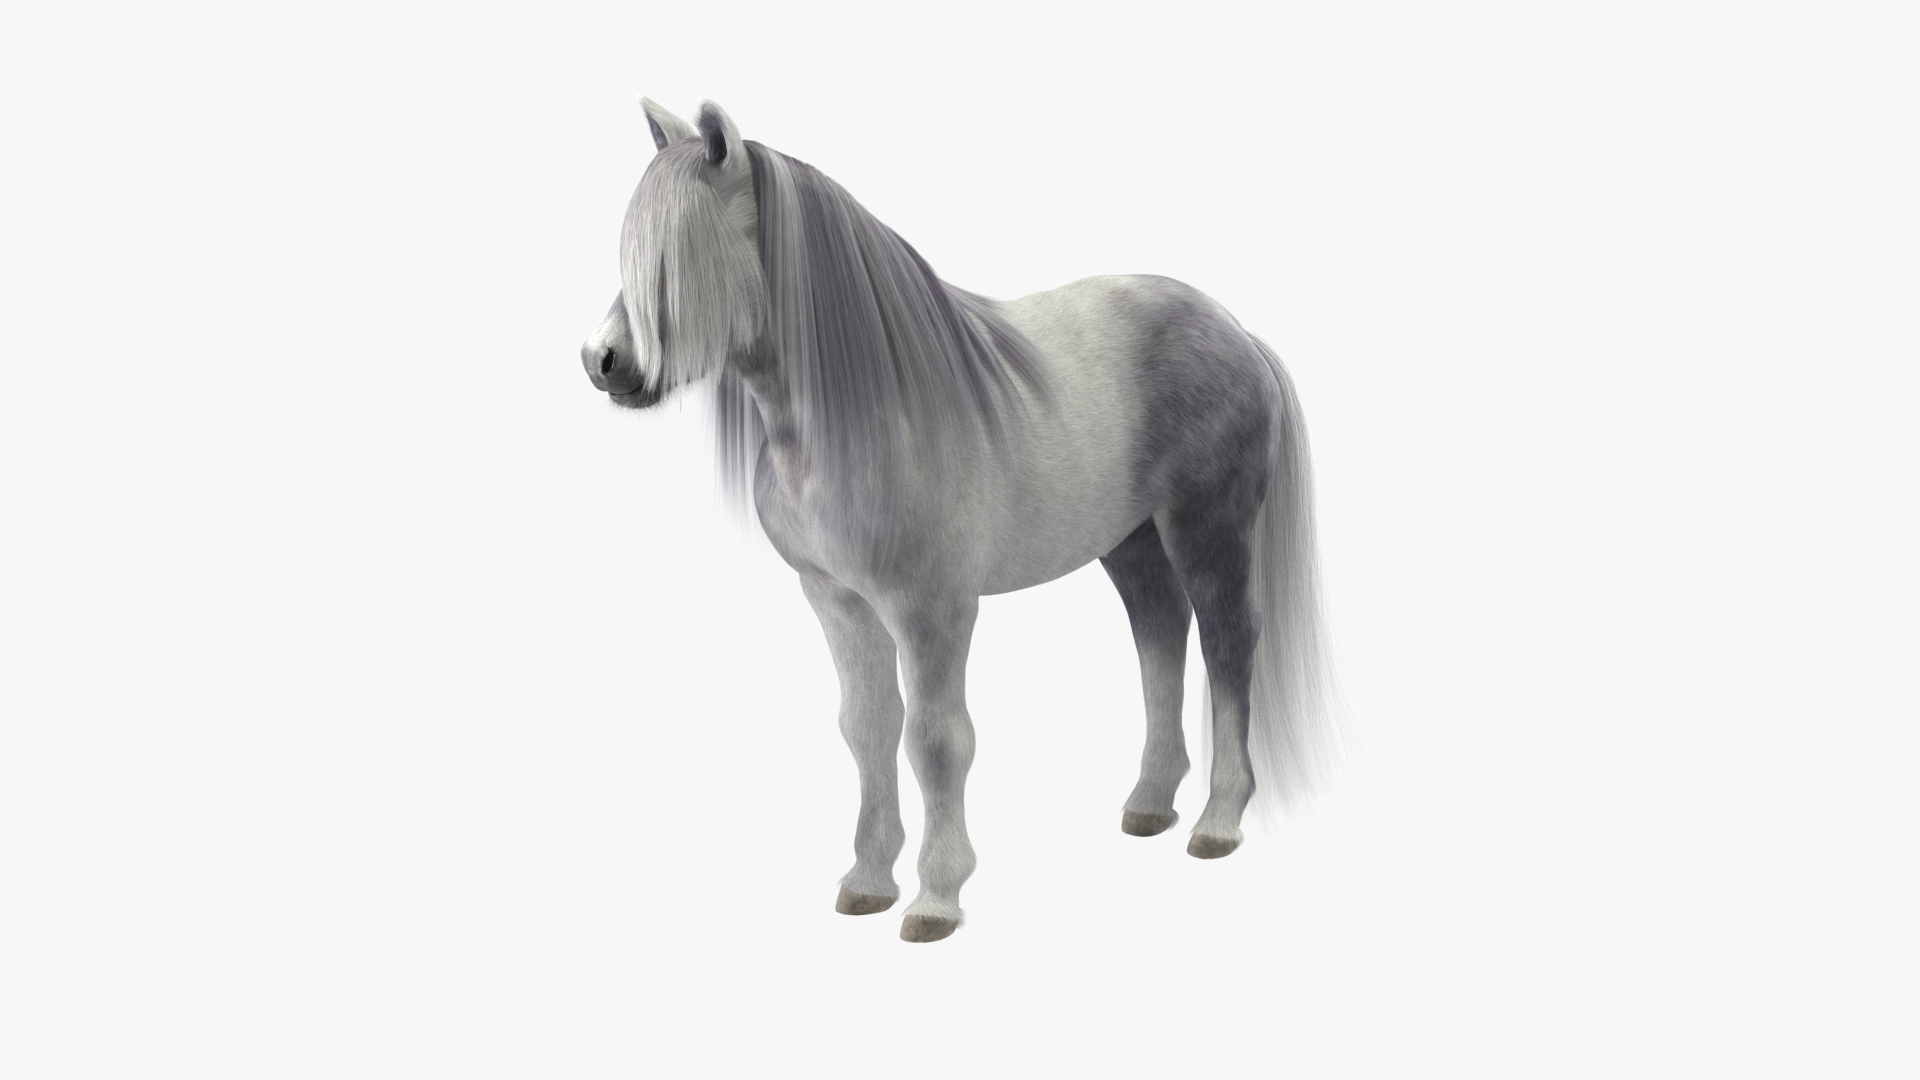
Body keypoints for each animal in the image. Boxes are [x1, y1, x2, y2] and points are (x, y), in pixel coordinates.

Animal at [580, 99, 1335, 943]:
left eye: (681, 251)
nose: (603, 360)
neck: (864, 411)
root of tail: (1235, 330)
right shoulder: (836, 601)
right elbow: (867, 729)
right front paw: (867, 881)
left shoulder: (933, 608)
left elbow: (936, 740)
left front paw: (935, 898)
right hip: (1131, 543)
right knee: (1159, 638)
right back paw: (1149, 804)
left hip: (1207, 530)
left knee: (1228, 645)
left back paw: (1217, 822)